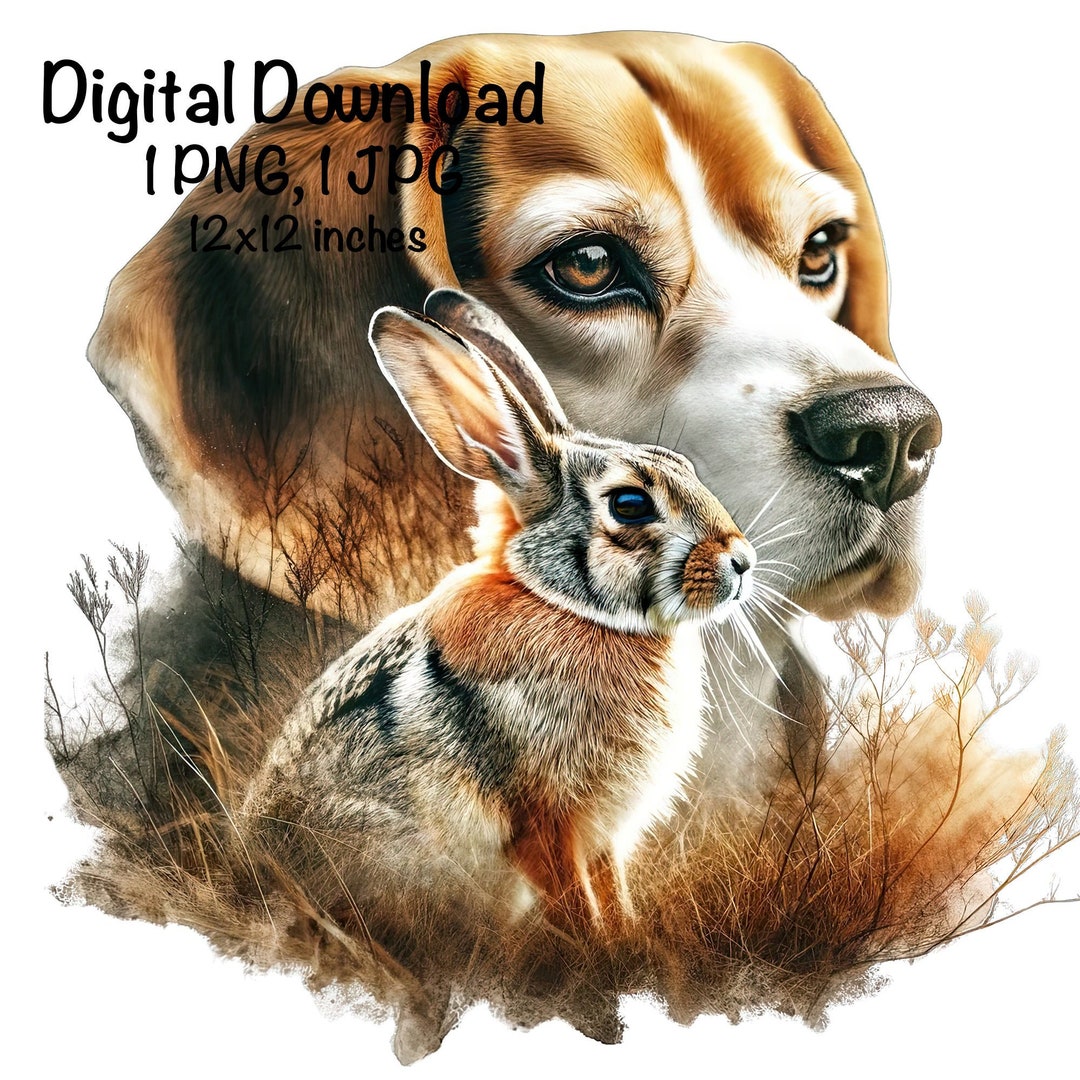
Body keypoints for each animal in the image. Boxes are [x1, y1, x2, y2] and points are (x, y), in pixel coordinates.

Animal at [242, 288, 756, 933]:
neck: (565, 605)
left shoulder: (599, 832)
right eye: (630, 504)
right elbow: (573, 899)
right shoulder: (541, 820)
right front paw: (598, 949)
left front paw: (627, 936)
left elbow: (611, 889)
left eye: (679, 462)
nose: (743, 561)